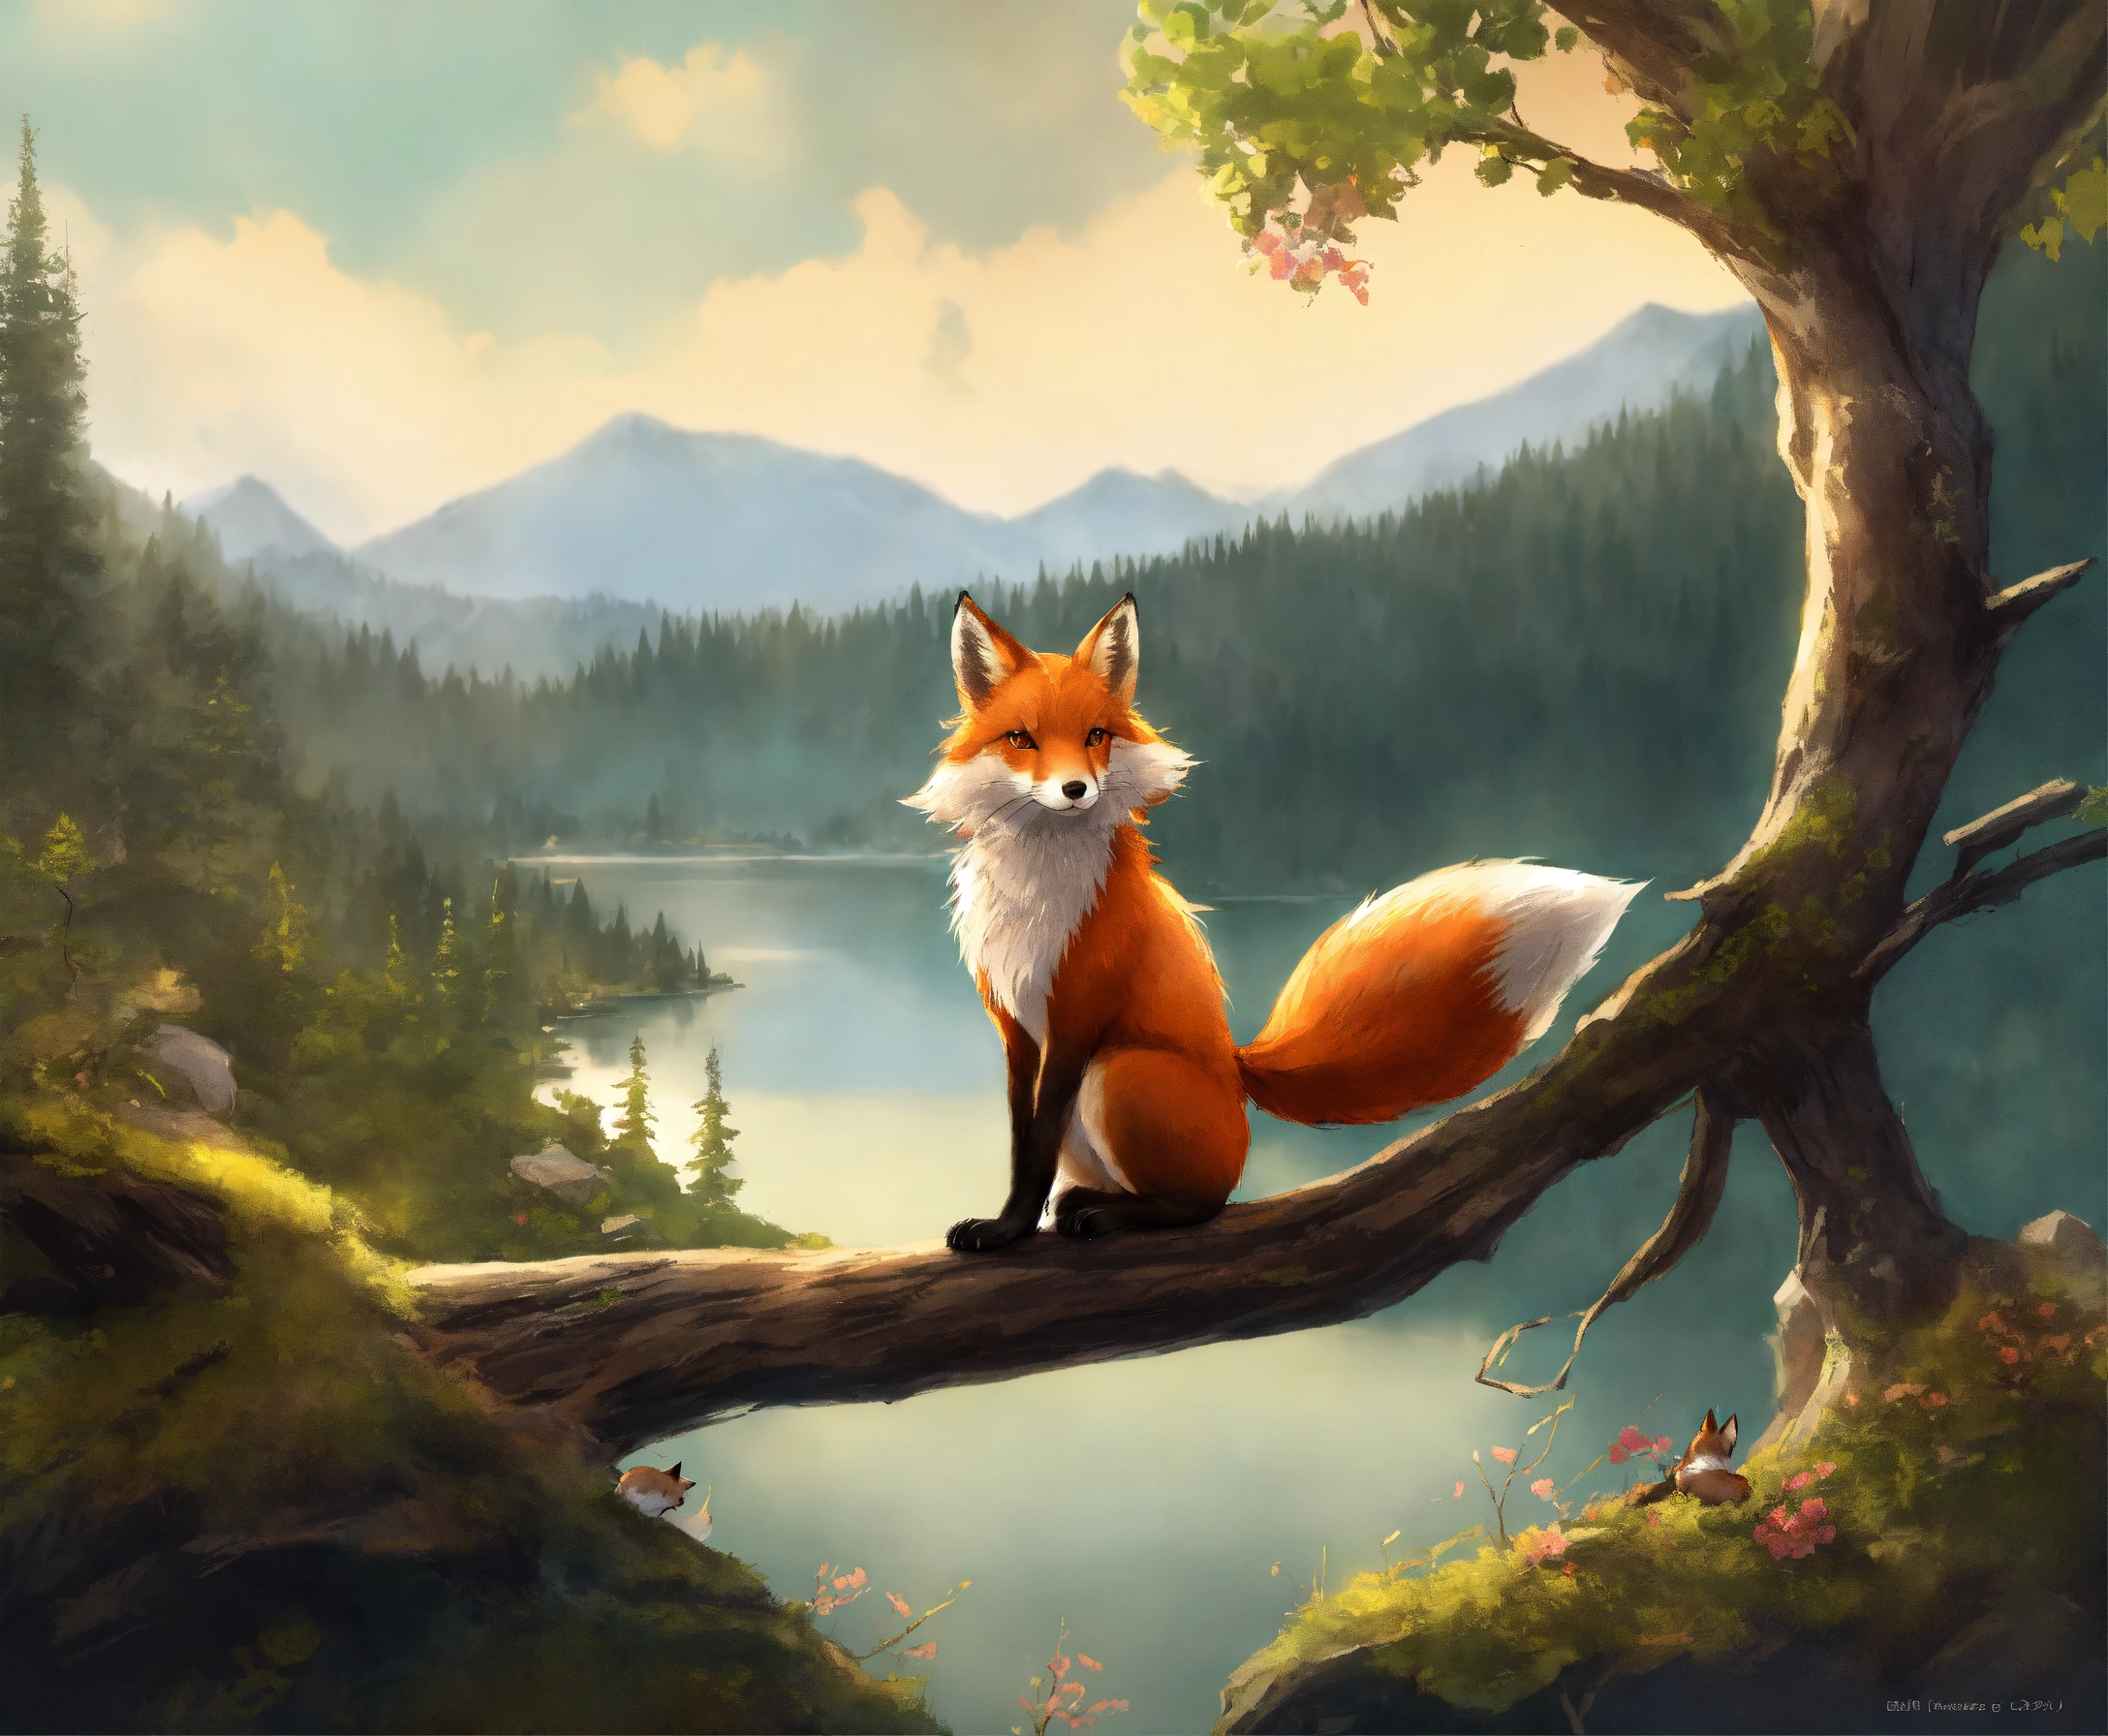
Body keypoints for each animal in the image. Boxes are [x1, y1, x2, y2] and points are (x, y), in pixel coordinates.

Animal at [905, 591, 1641, 1251]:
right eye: (1022, 739)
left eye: (1095, 736)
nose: (1075, 790)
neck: (1039, 898)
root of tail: (1239, 1072)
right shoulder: (1016, 1028)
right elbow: (1021, 1141)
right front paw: (1008, 1224)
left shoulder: (1077, 1018)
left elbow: (1035, 1152)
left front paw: (1008, 1232)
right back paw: (1087, 1203)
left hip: (1119, 1072)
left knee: (1202, 1204)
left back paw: (1111, 1216)